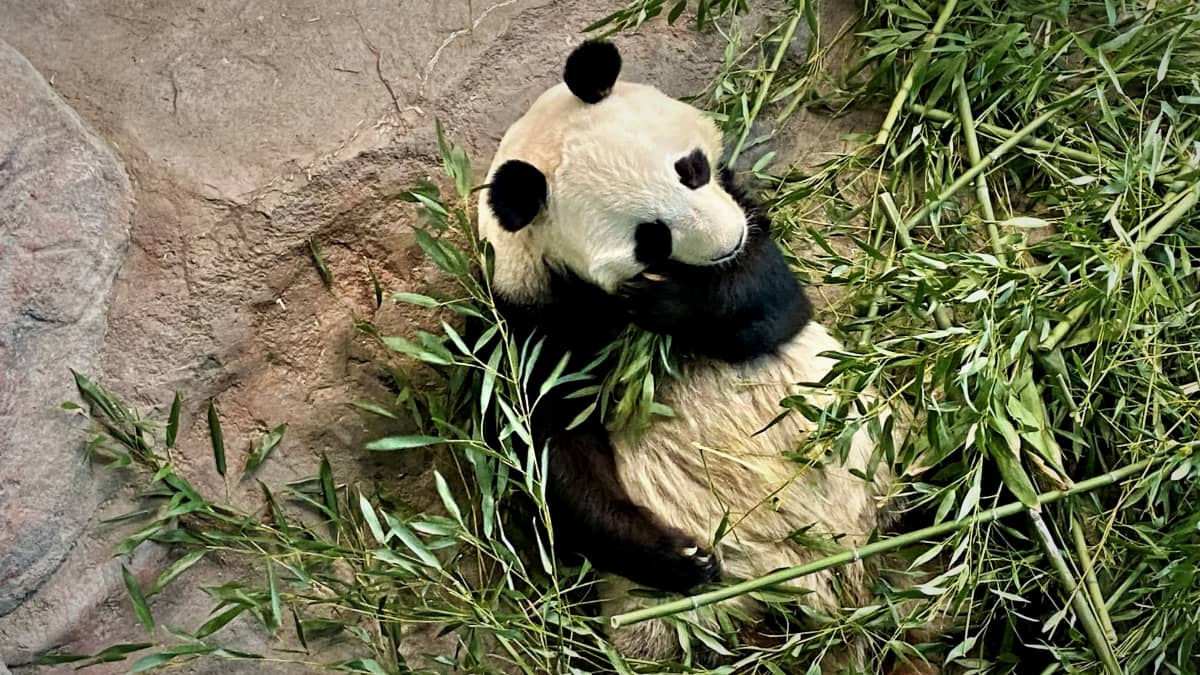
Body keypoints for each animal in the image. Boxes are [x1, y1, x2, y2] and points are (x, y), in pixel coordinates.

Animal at [474, 40, 909, 669]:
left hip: (887, 459)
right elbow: (549, 452)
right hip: (675, 619)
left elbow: (771, 301)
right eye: (649, 237)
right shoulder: (527, 328)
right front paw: (682, 557)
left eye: (691, 169)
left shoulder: (749, 219)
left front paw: (668, 299)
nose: (728, 240)